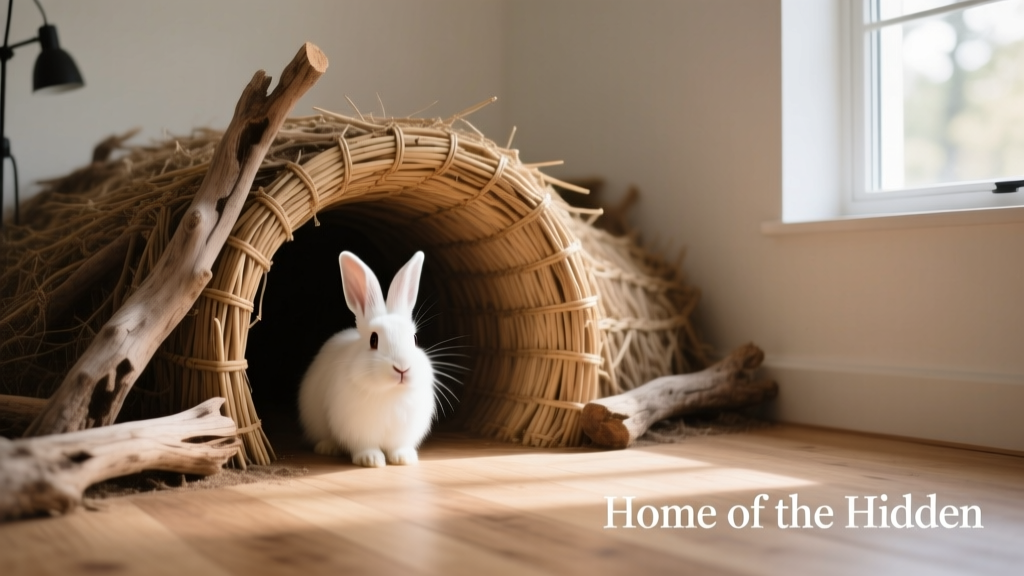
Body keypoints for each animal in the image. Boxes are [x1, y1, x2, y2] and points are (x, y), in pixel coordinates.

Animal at [298, 250, 435, 468]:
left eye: (414, 339)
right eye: (373, 340)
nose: (402, 368)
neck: (390, 393)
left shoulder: (402, 433)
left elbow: (398, 447)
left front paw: (404, 459)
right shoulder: (357, 431)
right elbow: (365, 447)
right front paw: (371, 460)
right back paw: (327, 448)